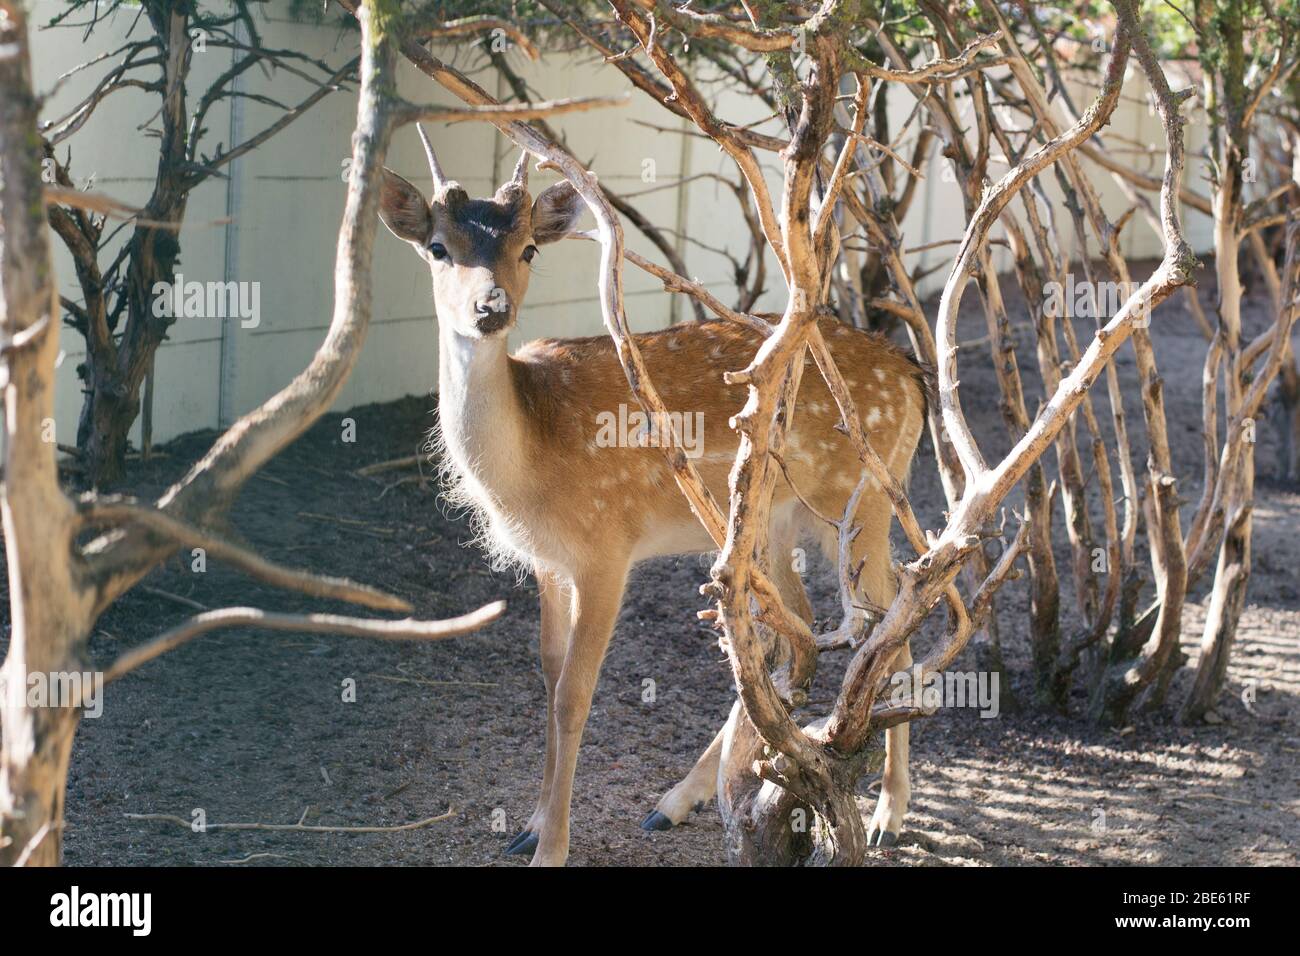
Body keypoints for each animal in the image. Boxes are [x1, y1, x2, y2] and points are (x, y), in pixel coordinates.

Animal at [377, 127, 929, 866]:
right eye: (438, 247)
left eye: (528, 248)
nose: (490, 308)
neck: (530, 463)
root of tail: (912, 375)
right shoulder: (548, 562)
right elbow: (547, 674)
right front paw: (529, 823)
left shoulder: (606, 548)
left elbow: (574, 695)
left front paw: (551, 846)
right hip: (780, 522)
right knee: (803, 625)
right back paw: (678, 800)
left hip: (859, 497)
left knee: (884, 622)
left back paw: (887, 812)